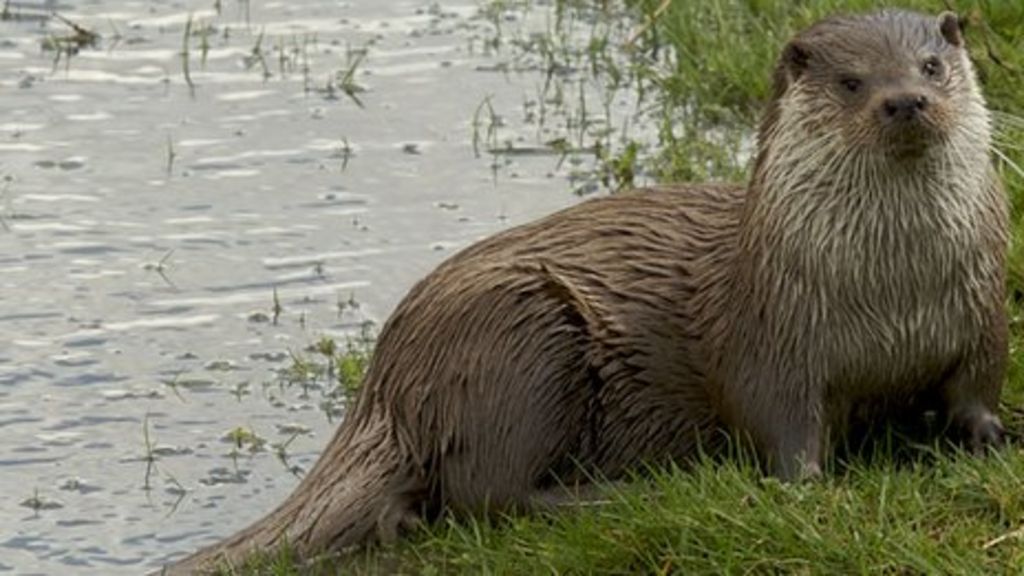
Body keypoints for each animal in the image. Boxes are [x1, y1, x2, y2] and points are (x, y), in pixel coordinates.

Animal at [162, 9, 1007, 573]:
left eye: (931, 66)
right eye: (851, 81)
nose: (905, 100)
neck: (893, 296)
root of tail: (385, 386)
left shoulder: (983, 315)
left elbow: (976, 391)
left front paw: (1001, 438)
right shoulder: (772, 344)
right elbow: (783, 433)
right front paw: (807, 489)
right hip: (518, 334)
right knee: (484, 492)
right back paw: (622, 492)